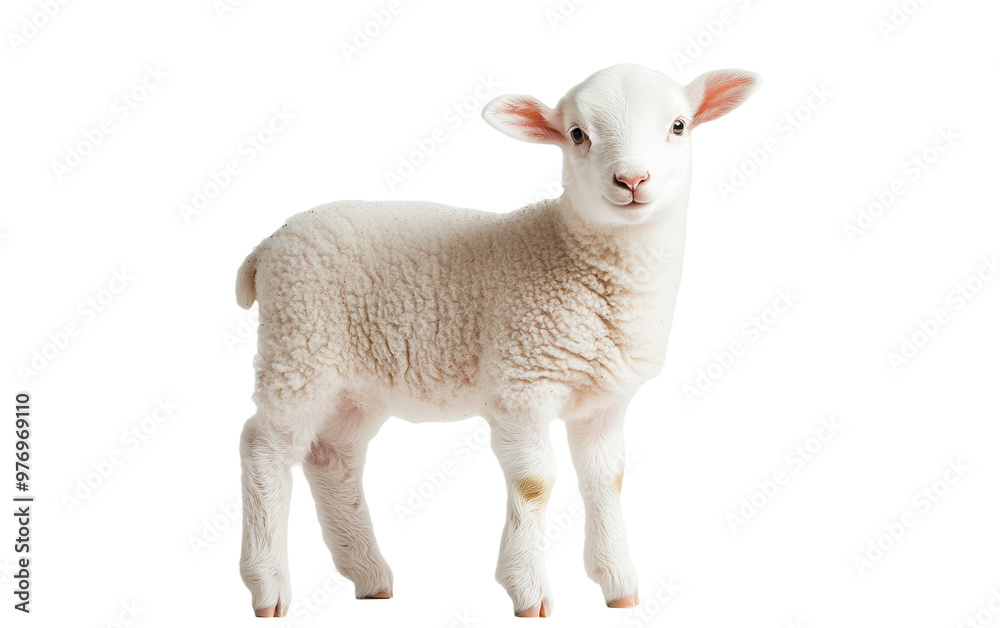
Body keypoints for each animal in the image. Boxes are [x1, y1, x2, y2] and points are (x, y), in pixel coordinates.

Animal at [235, 63, 760, 618]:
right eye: (577, 134)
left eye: (679, 125)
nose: (632, 180)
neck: (572, 257)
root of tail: (267, 246)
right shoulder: (521, 386)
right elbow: (535, 483)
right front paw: (528, 590)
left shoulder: (604, 400)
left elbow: (607, 479)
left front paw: (619, 584)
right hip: (299, 346)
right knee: (264, 447)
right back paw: (268, 585)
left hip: (355, 385)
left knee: (332, 458)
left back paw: (369, 574)